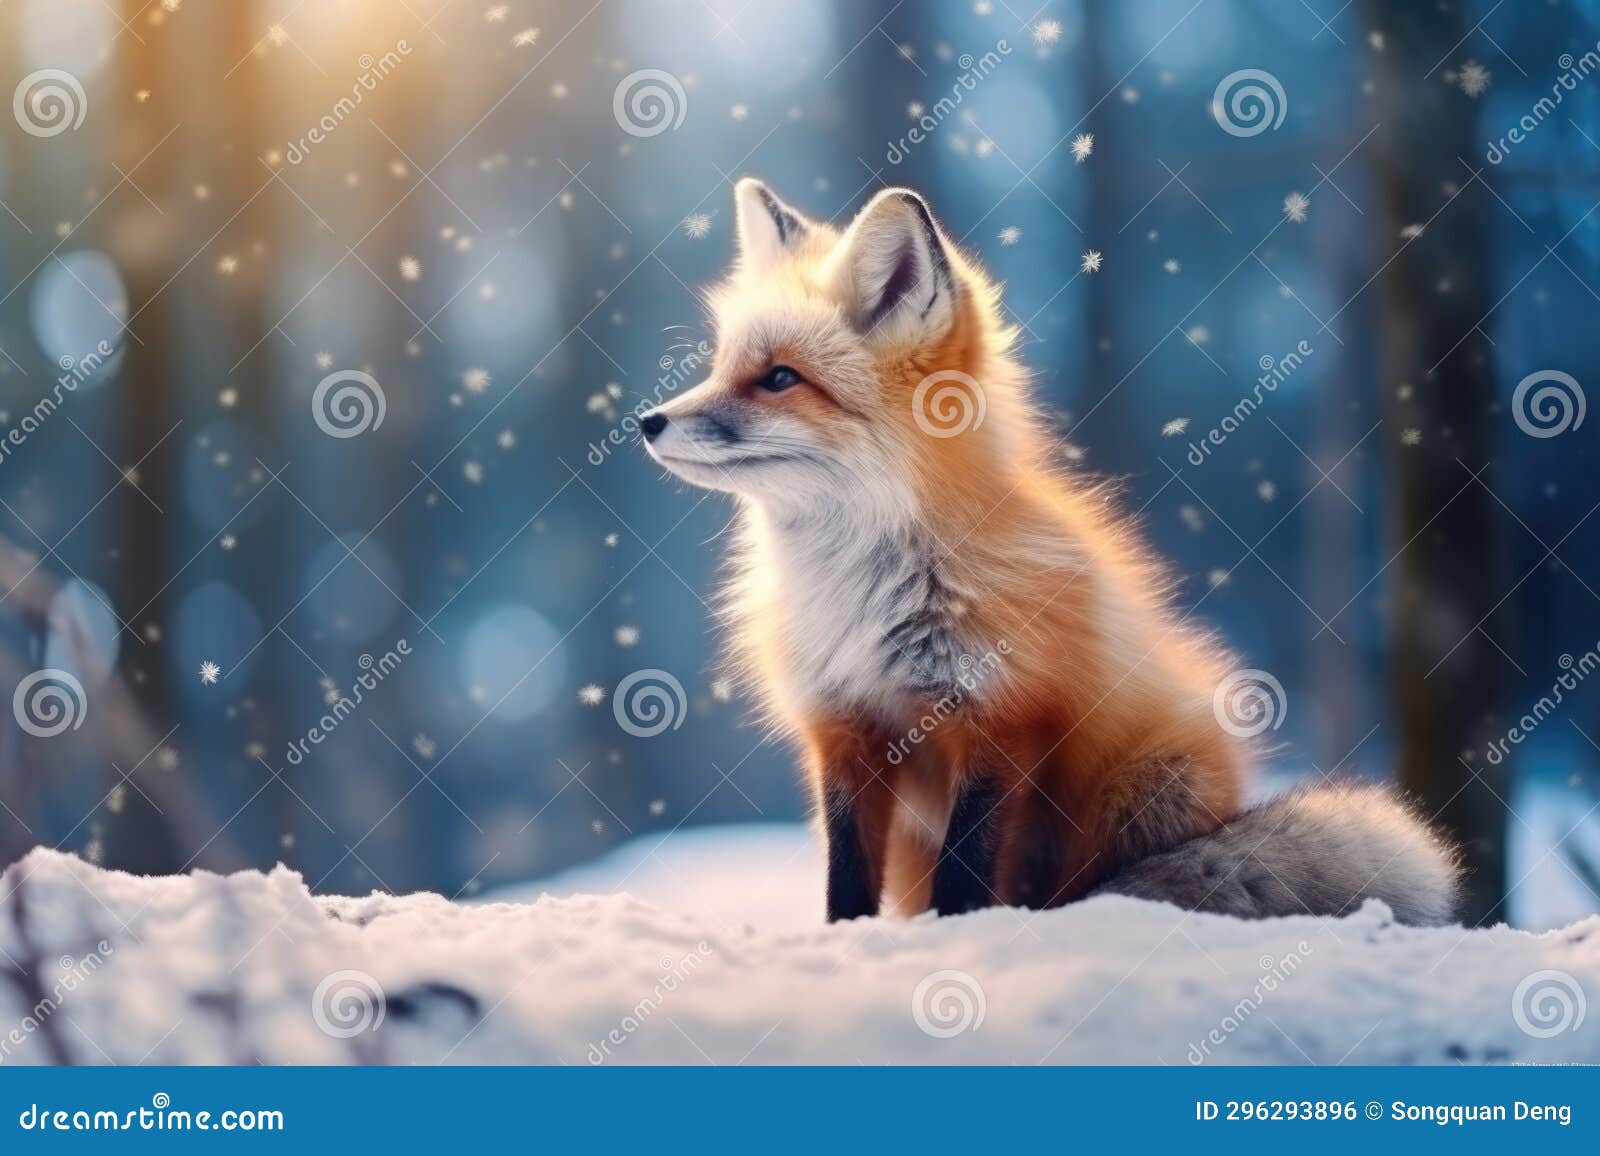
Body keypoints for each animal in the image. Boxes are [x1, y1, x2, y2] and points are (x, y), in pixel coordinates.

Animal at [641, 177, 1460, 926]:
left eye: (780, 378)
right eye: (720, 368)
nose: (647, 421)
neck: (866, 594)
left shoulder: (1002, 722)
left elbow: (966, 873)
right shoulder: (845, 731)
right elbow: (846, 881)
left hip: (1150, 782)